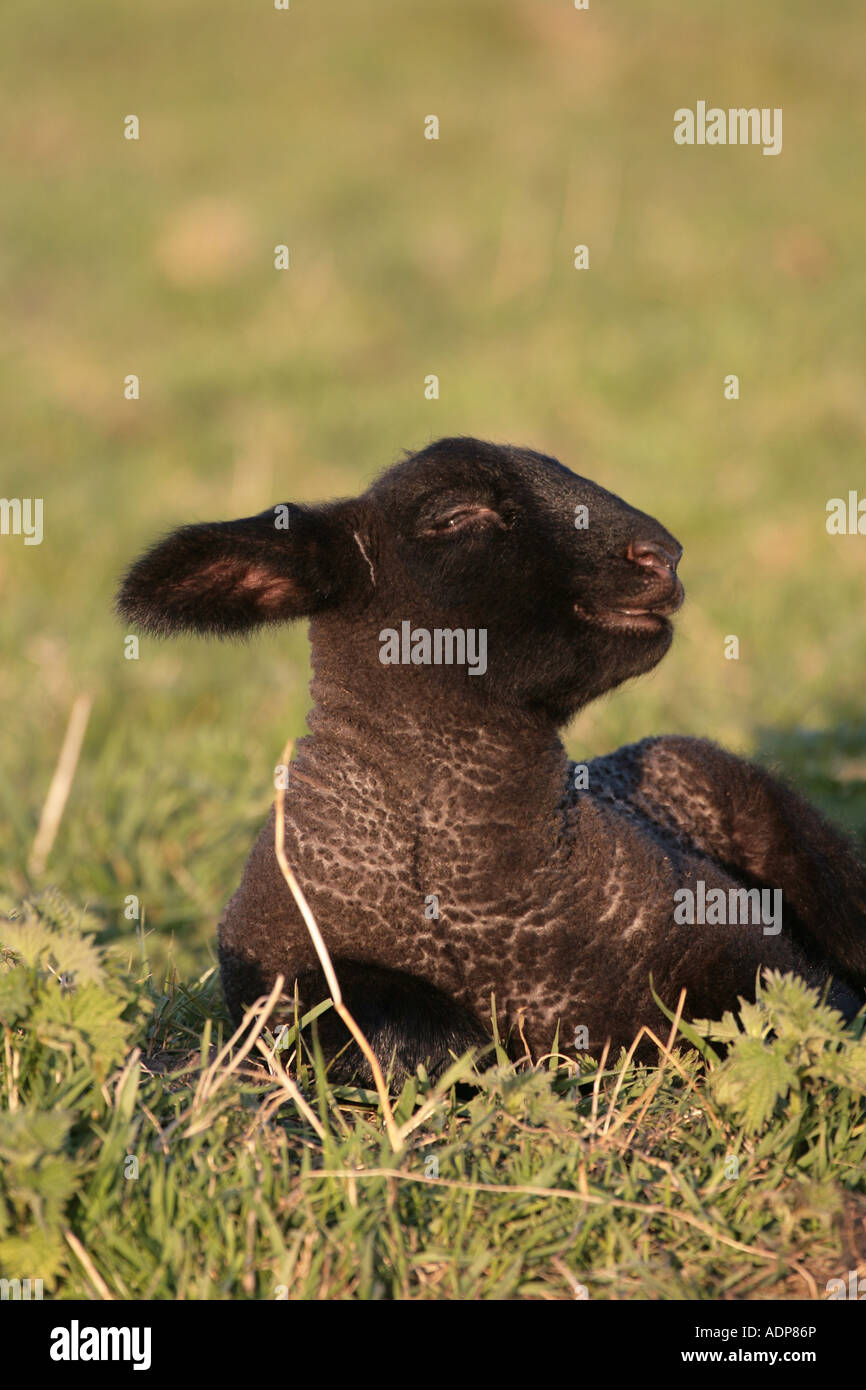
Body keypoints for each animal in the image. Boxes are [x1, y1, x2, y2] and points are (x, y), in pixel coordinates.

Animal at [117, 436, 866, 1082]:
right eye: (455, 515)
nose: (665, 554)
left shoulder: (743, 946)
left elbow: (816, 1012)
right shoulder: (272, 975)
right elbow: (409, 1036)